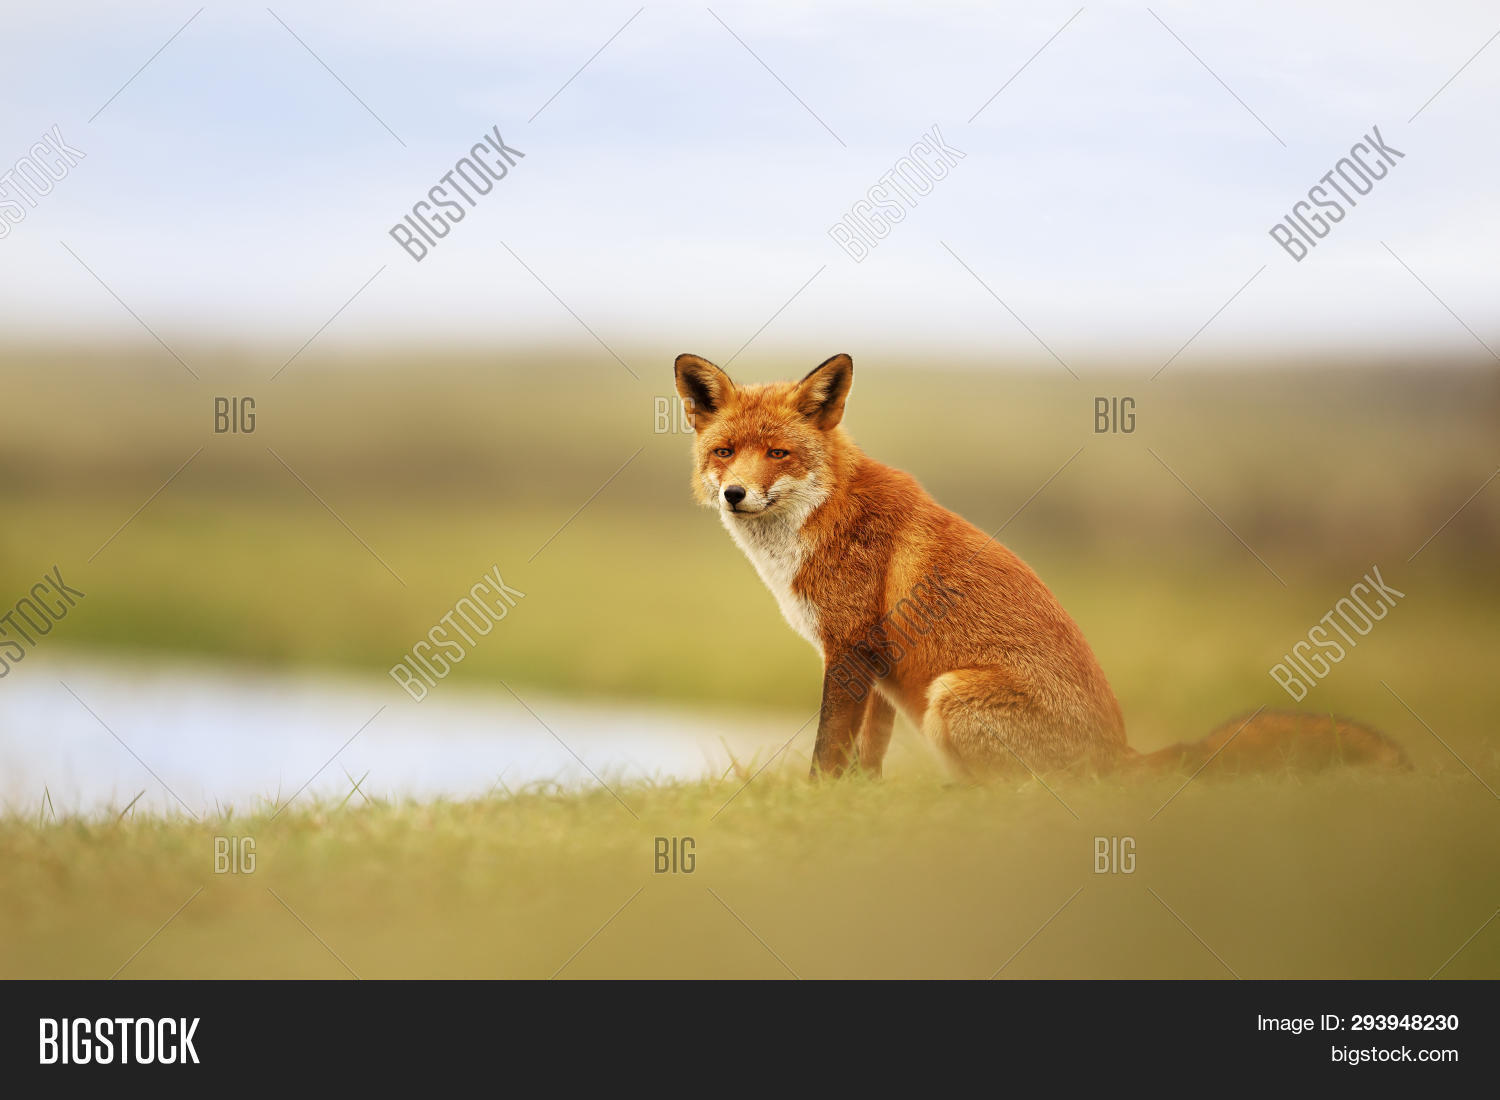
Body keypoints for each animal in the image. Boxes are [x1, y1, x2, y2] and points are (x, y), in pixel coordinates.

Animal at [673, 351, 1411, 780]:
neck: (818, 520)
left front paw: (822, 806)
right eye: (725, 452)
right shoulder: (876, 664)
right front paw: (860, 804)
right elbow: (869, 754)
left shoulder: (851, 648)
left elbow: (828, 751)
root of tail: (1122, 757)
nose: (735, 494)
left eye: (778, 454)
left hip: (951, 696)